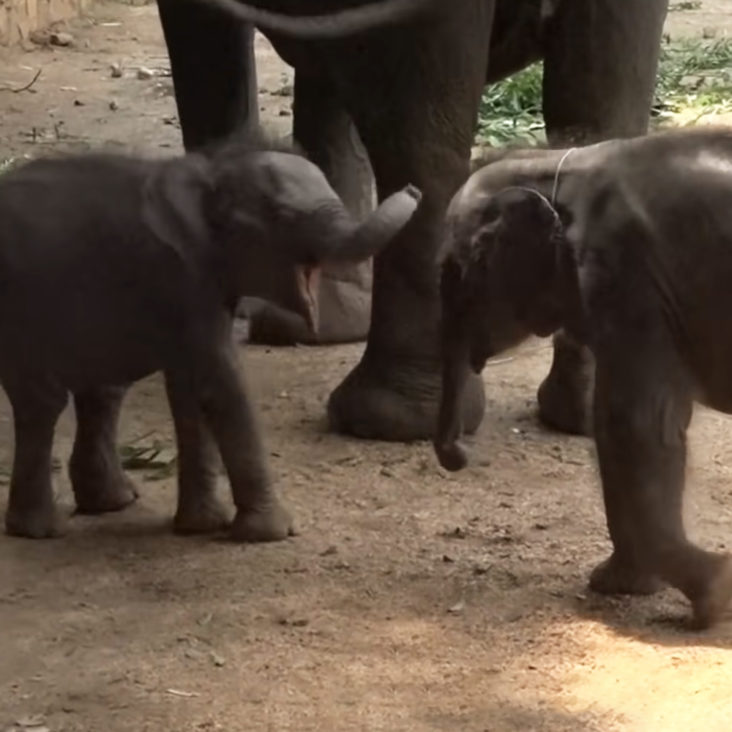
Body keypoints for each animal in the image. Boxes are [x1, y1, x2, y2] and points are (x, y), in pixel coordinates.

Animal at [0, 133, 420, 540]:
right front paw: (270, 534)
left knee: (102, 392)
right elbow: (222, 379)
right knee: (43, 403)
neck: (211, 175)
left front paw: (202, 526)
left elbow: (189, 389)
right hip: (20, 307)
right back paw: (40, 529)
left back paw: (110, 503)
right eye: (283, 218)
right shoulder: (185, 277)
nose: (414, 190)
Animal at [433, 126, 732, 629]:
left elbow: (634, 425)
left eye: (462, 271)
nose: (459, 455)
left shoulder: (626, 277)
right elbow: (622, 432)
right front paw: (618, 584)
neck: (553, 164)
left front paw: (716, 593)